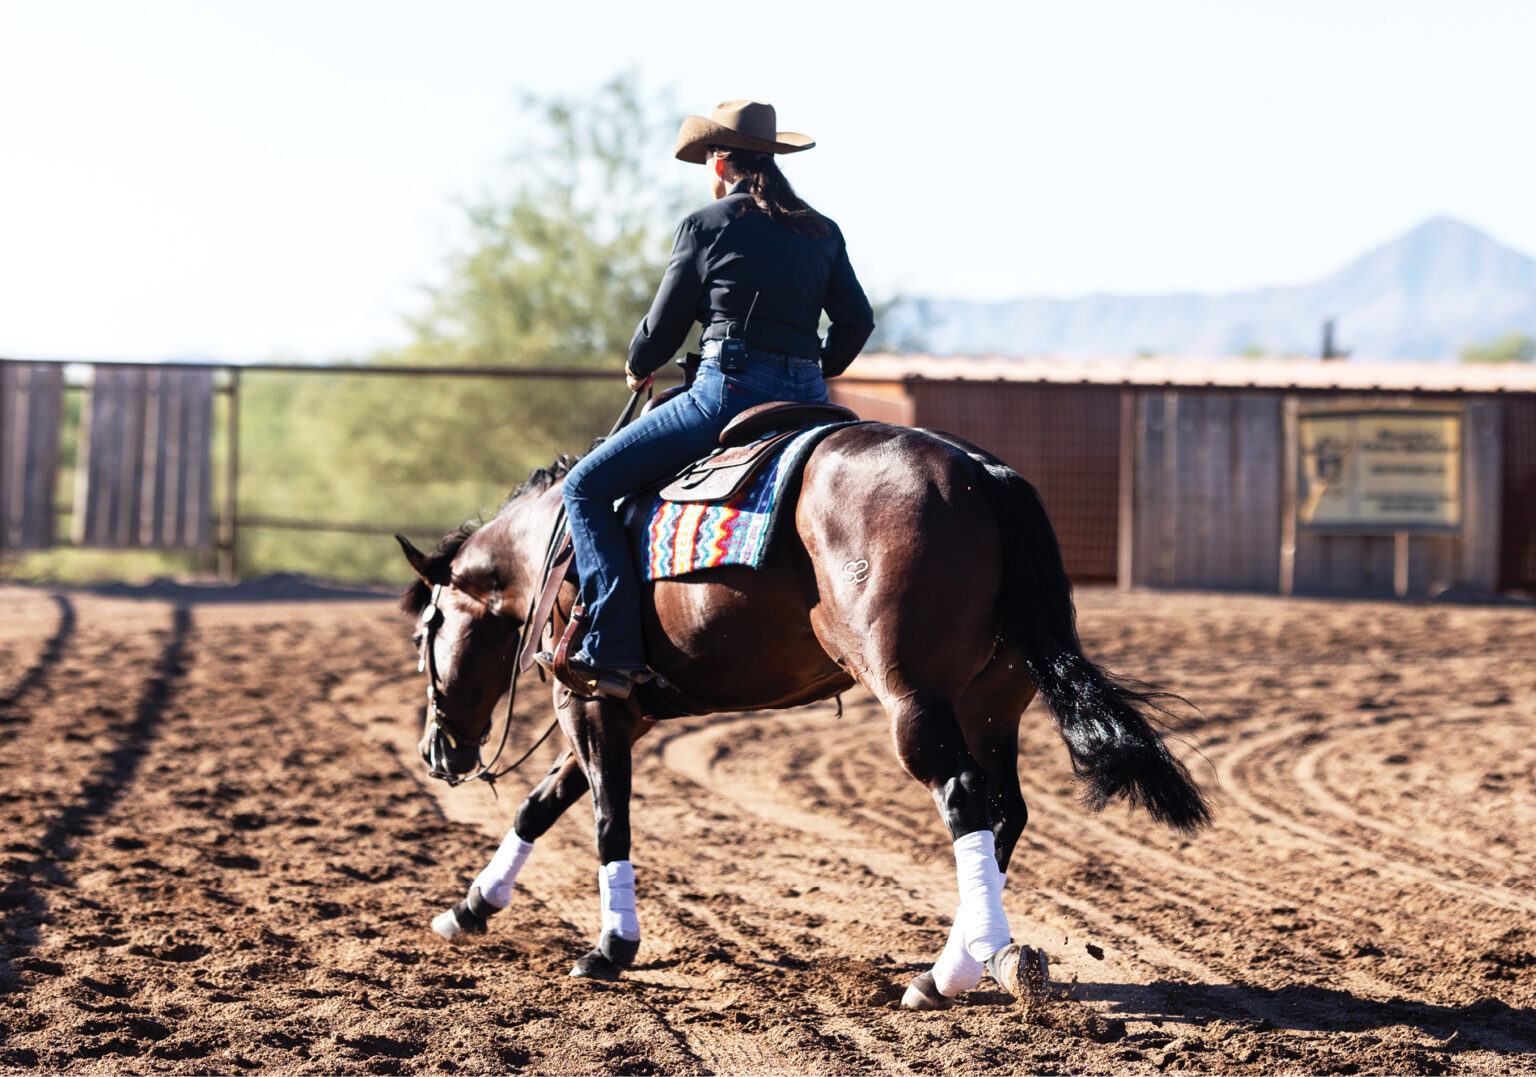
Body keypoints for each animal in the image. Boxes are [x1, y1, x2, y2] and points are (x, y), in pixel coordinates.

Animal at [397, 419, 1210, 1008]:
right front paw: (471, 905)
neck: (552, 549)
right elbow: (541, 804)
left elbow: (606, 820)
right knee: (1004, 809)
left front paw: (610, 946)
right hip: (992, 703)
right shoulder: (618, 714)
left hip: (914, 703)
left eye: (423, 632)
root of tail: (981, 473)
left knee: (963, 798)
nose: (439, 752)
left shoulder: (589, 702)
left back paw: (958, 974)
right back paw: (952, 965)